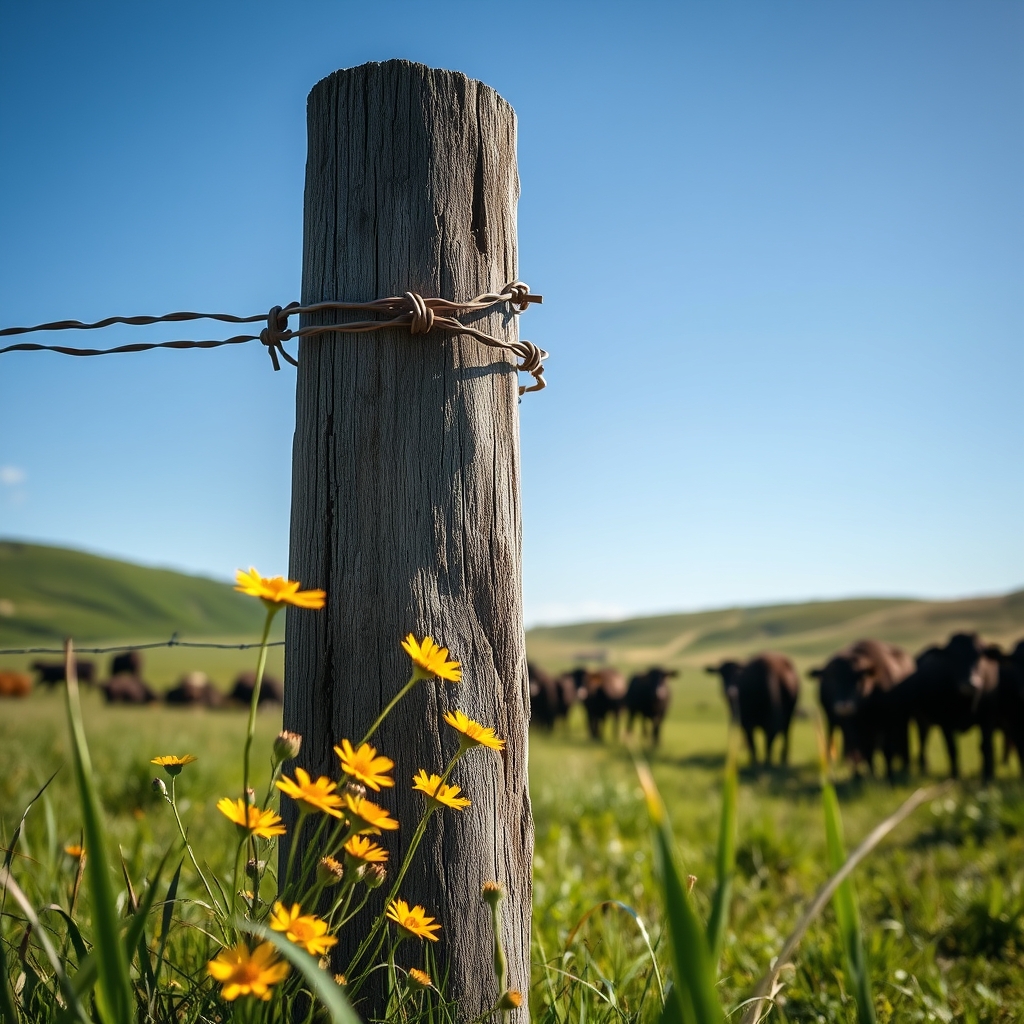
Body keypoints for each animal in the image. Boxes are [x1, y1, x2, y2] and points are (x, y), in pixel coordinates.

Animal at [810, 640, 914, 772]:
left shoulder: (887, 723)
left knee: (902, 741)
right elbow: (861, 749)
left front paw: (889, 774)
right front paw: (863, 773)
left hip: (902, 720)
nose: (844, 706)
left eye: (857, 678)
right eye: (832, 679)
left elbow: (885, 750)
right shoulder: (853, 728)